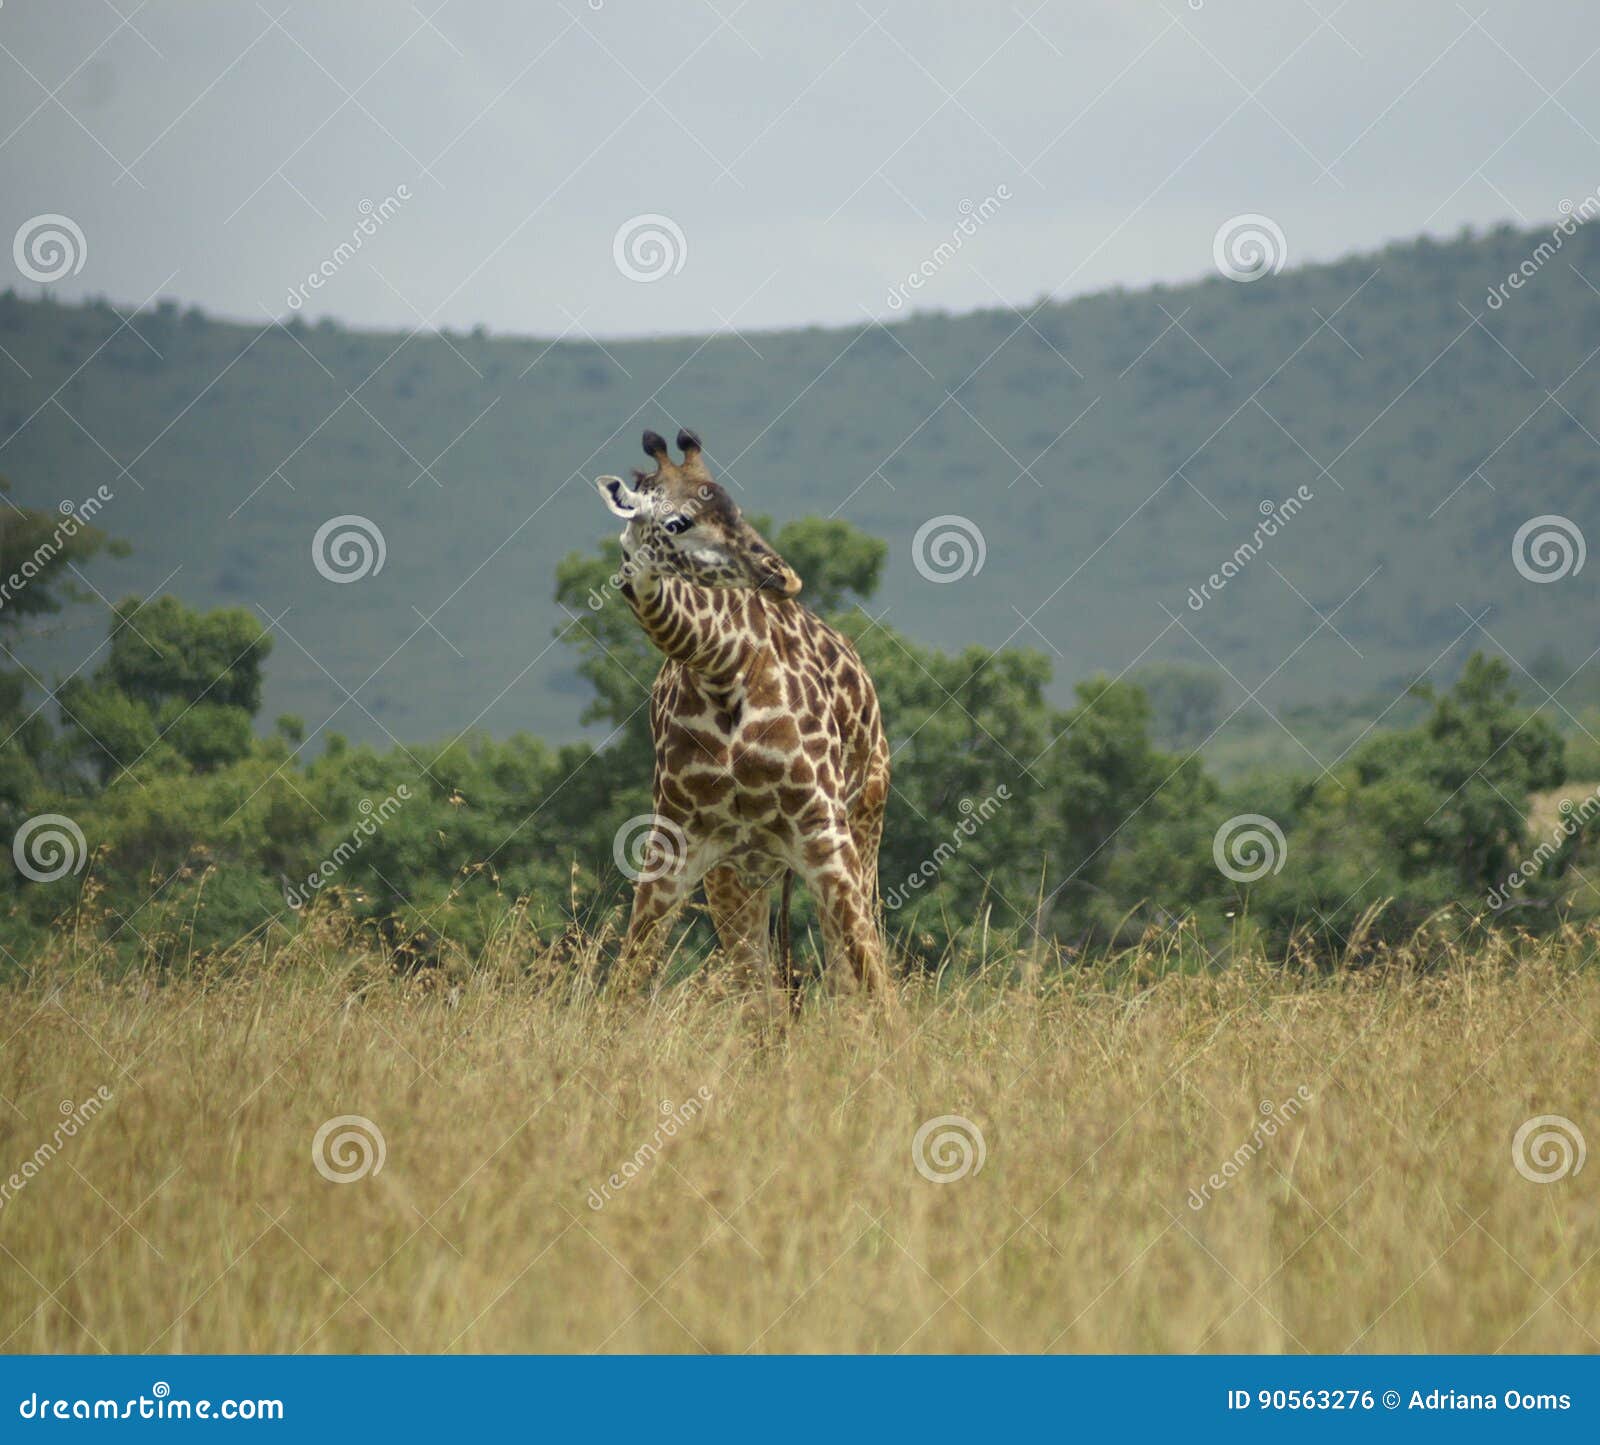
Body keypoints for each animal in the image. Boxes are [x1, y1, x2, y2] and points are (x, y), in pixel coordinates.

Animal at [595, 427, 893, 1011]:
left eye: (736, 508)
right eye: (678, 522)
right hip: (742, 873)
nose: (784, 575)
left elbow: (875, 981)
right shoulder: (677, 842)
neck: (722, 667)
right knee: (764, 997)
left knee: (847, 975)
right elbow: (624, 980)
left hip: (863, 824)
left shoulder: (822, 828)